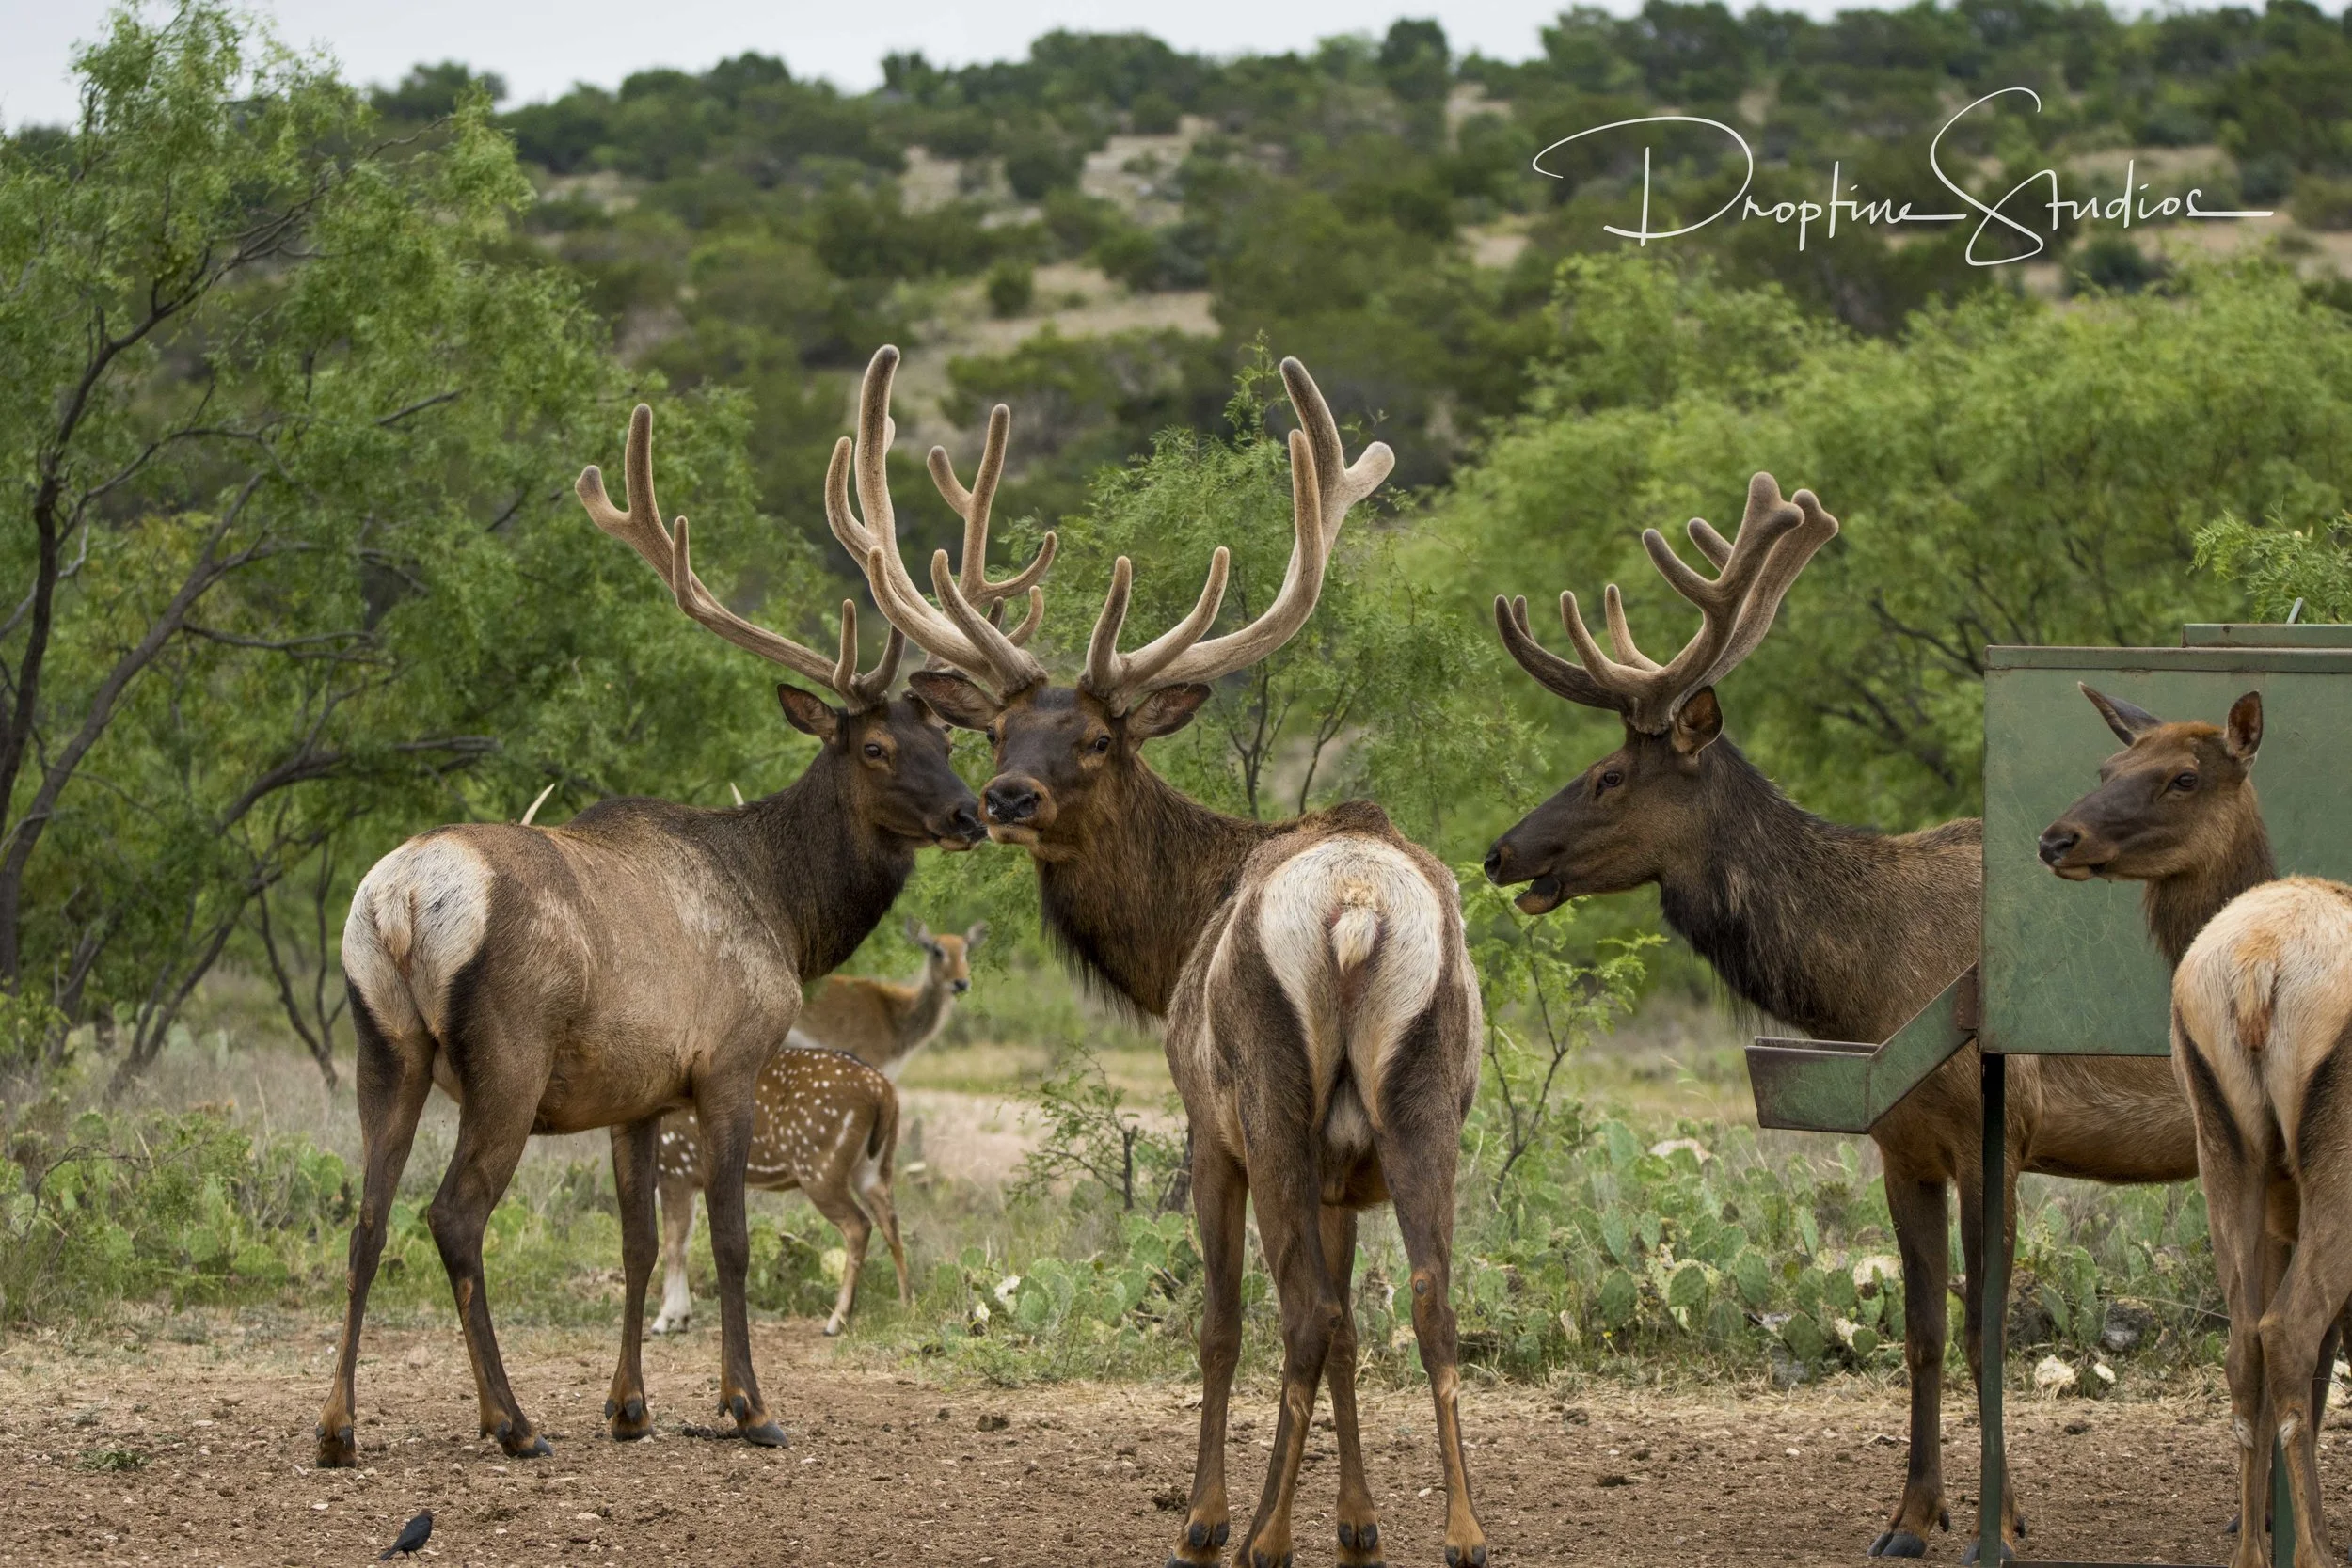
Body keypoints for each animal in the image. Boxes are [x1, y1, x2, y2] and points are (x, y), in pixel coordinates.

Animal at [649, 1047, 908, 1338]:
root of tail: (885, 1090)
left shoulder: (675, 1169)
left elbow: (673, 1245)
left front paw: (665, 1320)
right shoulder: (686, 1177)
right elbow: (683, 1243)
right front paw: (681, 1318)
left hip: (820, 1168)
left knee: (860, 1225)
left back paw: (835, 1321)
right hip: (874, 1167)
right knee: (891, 1222)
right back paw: (907, 1307)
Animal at [842, 343, 1488, 1568]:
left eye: (1099, 738)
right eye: (1000, 730)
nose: (1002, 797)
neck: (1175, 929)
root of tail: (1353, 910)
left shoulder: (1203, 1126)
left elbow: (1223, 1324)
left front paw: (1206, 1514)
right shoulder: (1343, 1173)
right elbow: (1351, 1331)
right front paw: (1361, 1522)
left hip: (1267, 1096)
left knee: (1298, 1310)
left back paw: (1259, 1535)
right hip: (1423, 1092)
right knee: (1428, 1299)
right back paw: (1465, 1530)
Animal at [1479, 476, 2217, 1562]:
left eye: (1609, 776)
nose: (1500, 851)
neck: (1868, 977)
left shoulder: (1997, 1130)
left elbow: (1988, 1327)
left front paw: (2003, 1519)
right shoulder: (1899, 1144)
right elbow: (1920, 1330)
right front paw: (1909, 1518)